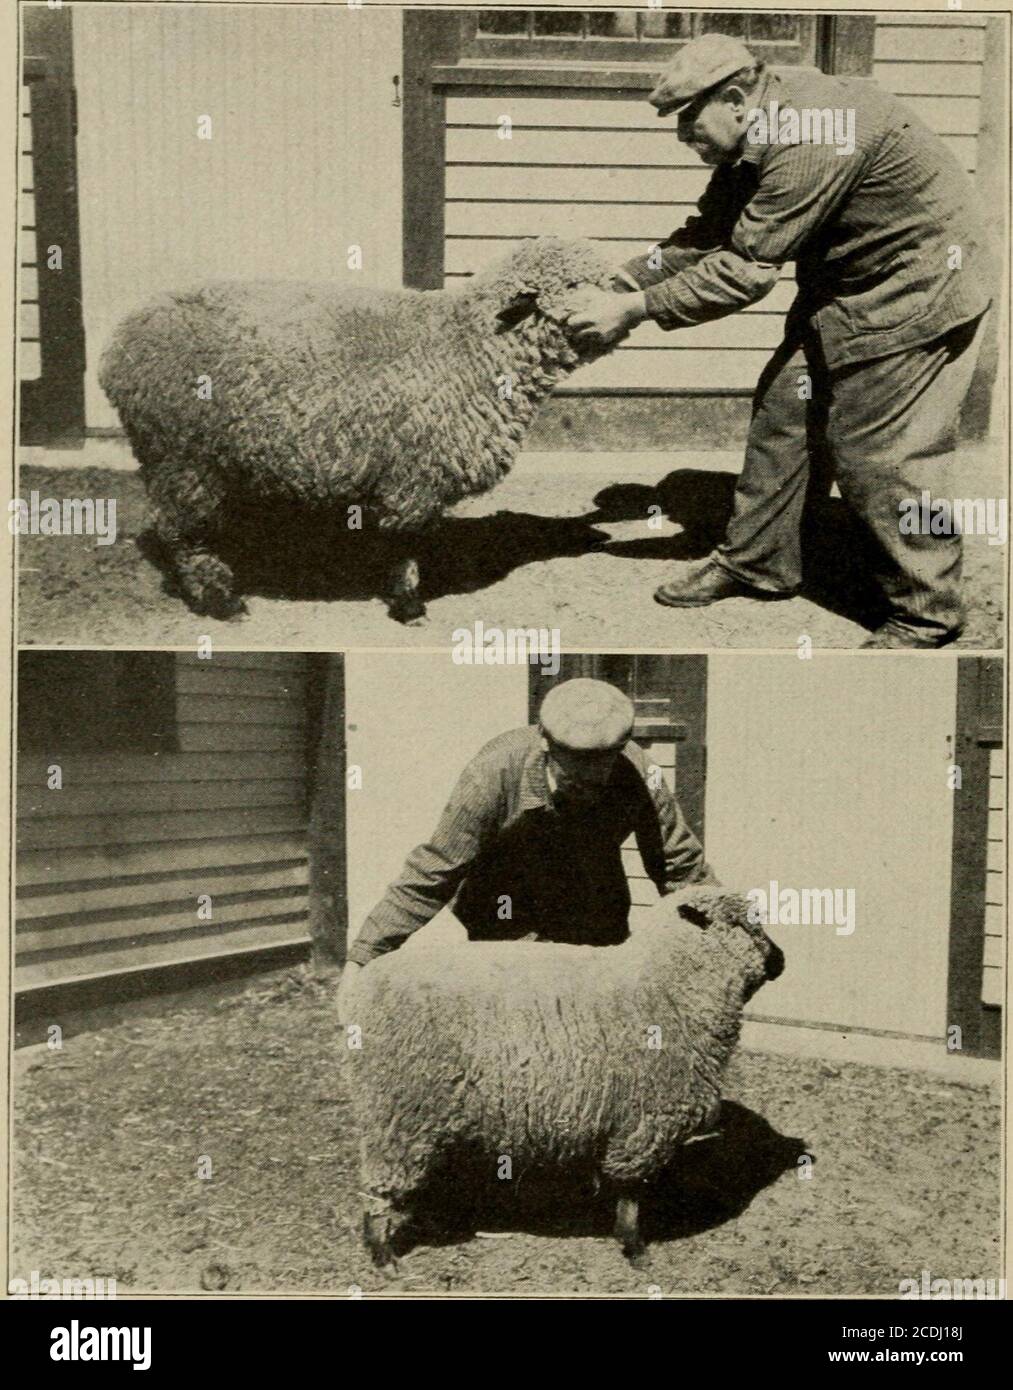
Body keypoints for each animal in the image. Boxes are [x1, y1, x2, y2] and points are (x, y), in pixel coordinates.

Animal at [98, 238, 620, 623]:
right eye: (573, 284)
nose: (621, 320)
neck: (471, 344)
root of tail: (121, 340)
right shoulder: (415, 474)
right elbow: (406, 543)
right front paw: (407, 604)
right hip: (181, 455)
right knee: (184, 534)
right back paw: (219, 599)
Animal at [343, 885, 786, 1268]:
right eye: (743, 922)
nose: (781, 960)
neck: (667, 983)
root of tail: (362, 986)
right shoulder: (643, 1119)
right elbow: (631, 1192)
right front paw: (633, 1246)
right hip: (398, 1110)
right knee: (381, 1180)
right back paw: (382, 1251)